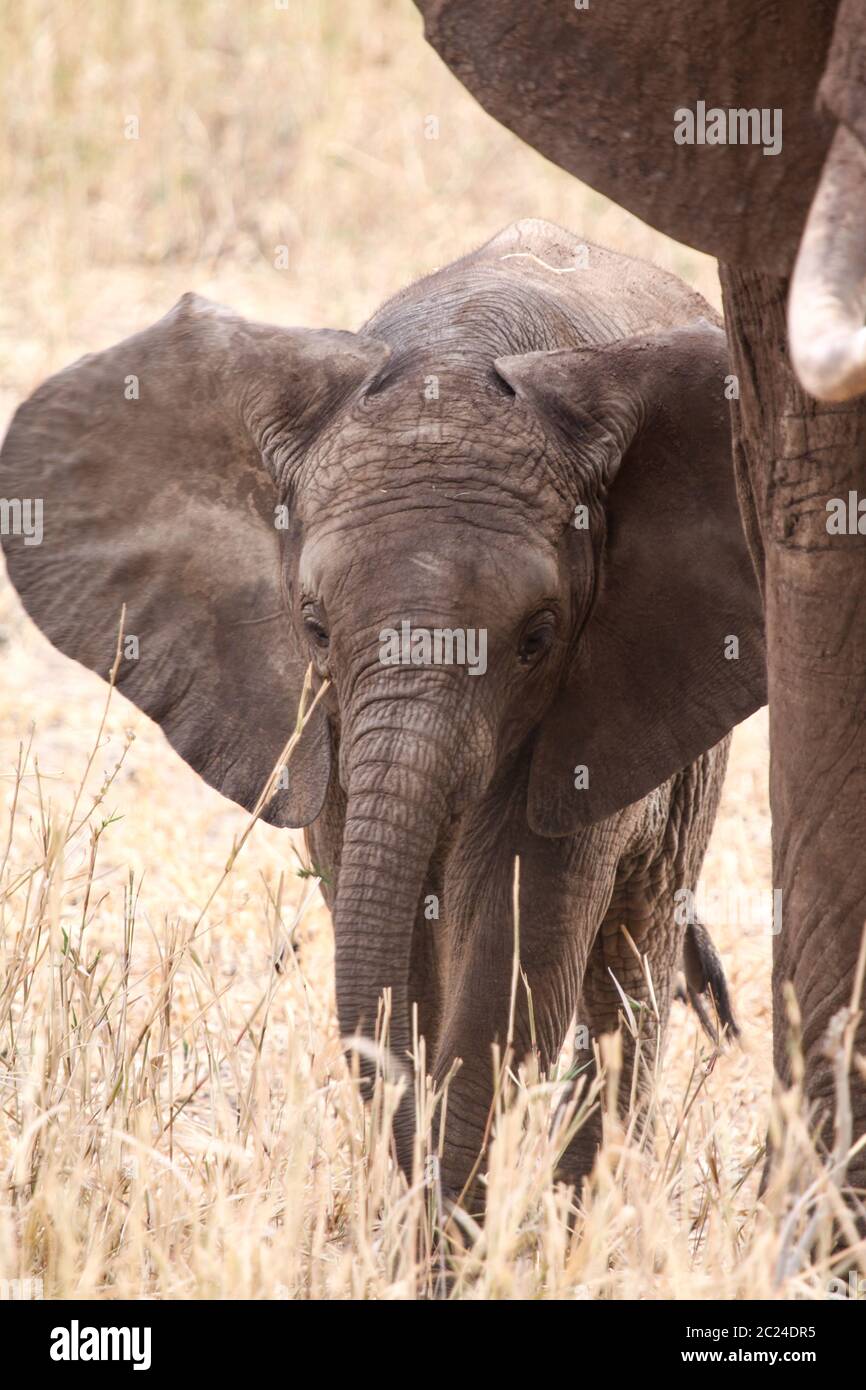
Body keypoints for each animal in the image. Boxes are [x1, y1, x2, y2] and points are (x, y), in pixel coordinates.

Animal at [0, 219, 765, 1200]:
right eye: (314, 626)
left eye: (539, 637)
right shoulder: (321, 726)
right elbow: (394, 940)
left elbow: (515, 938)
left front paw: (459, 1220)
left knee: (631, 959)